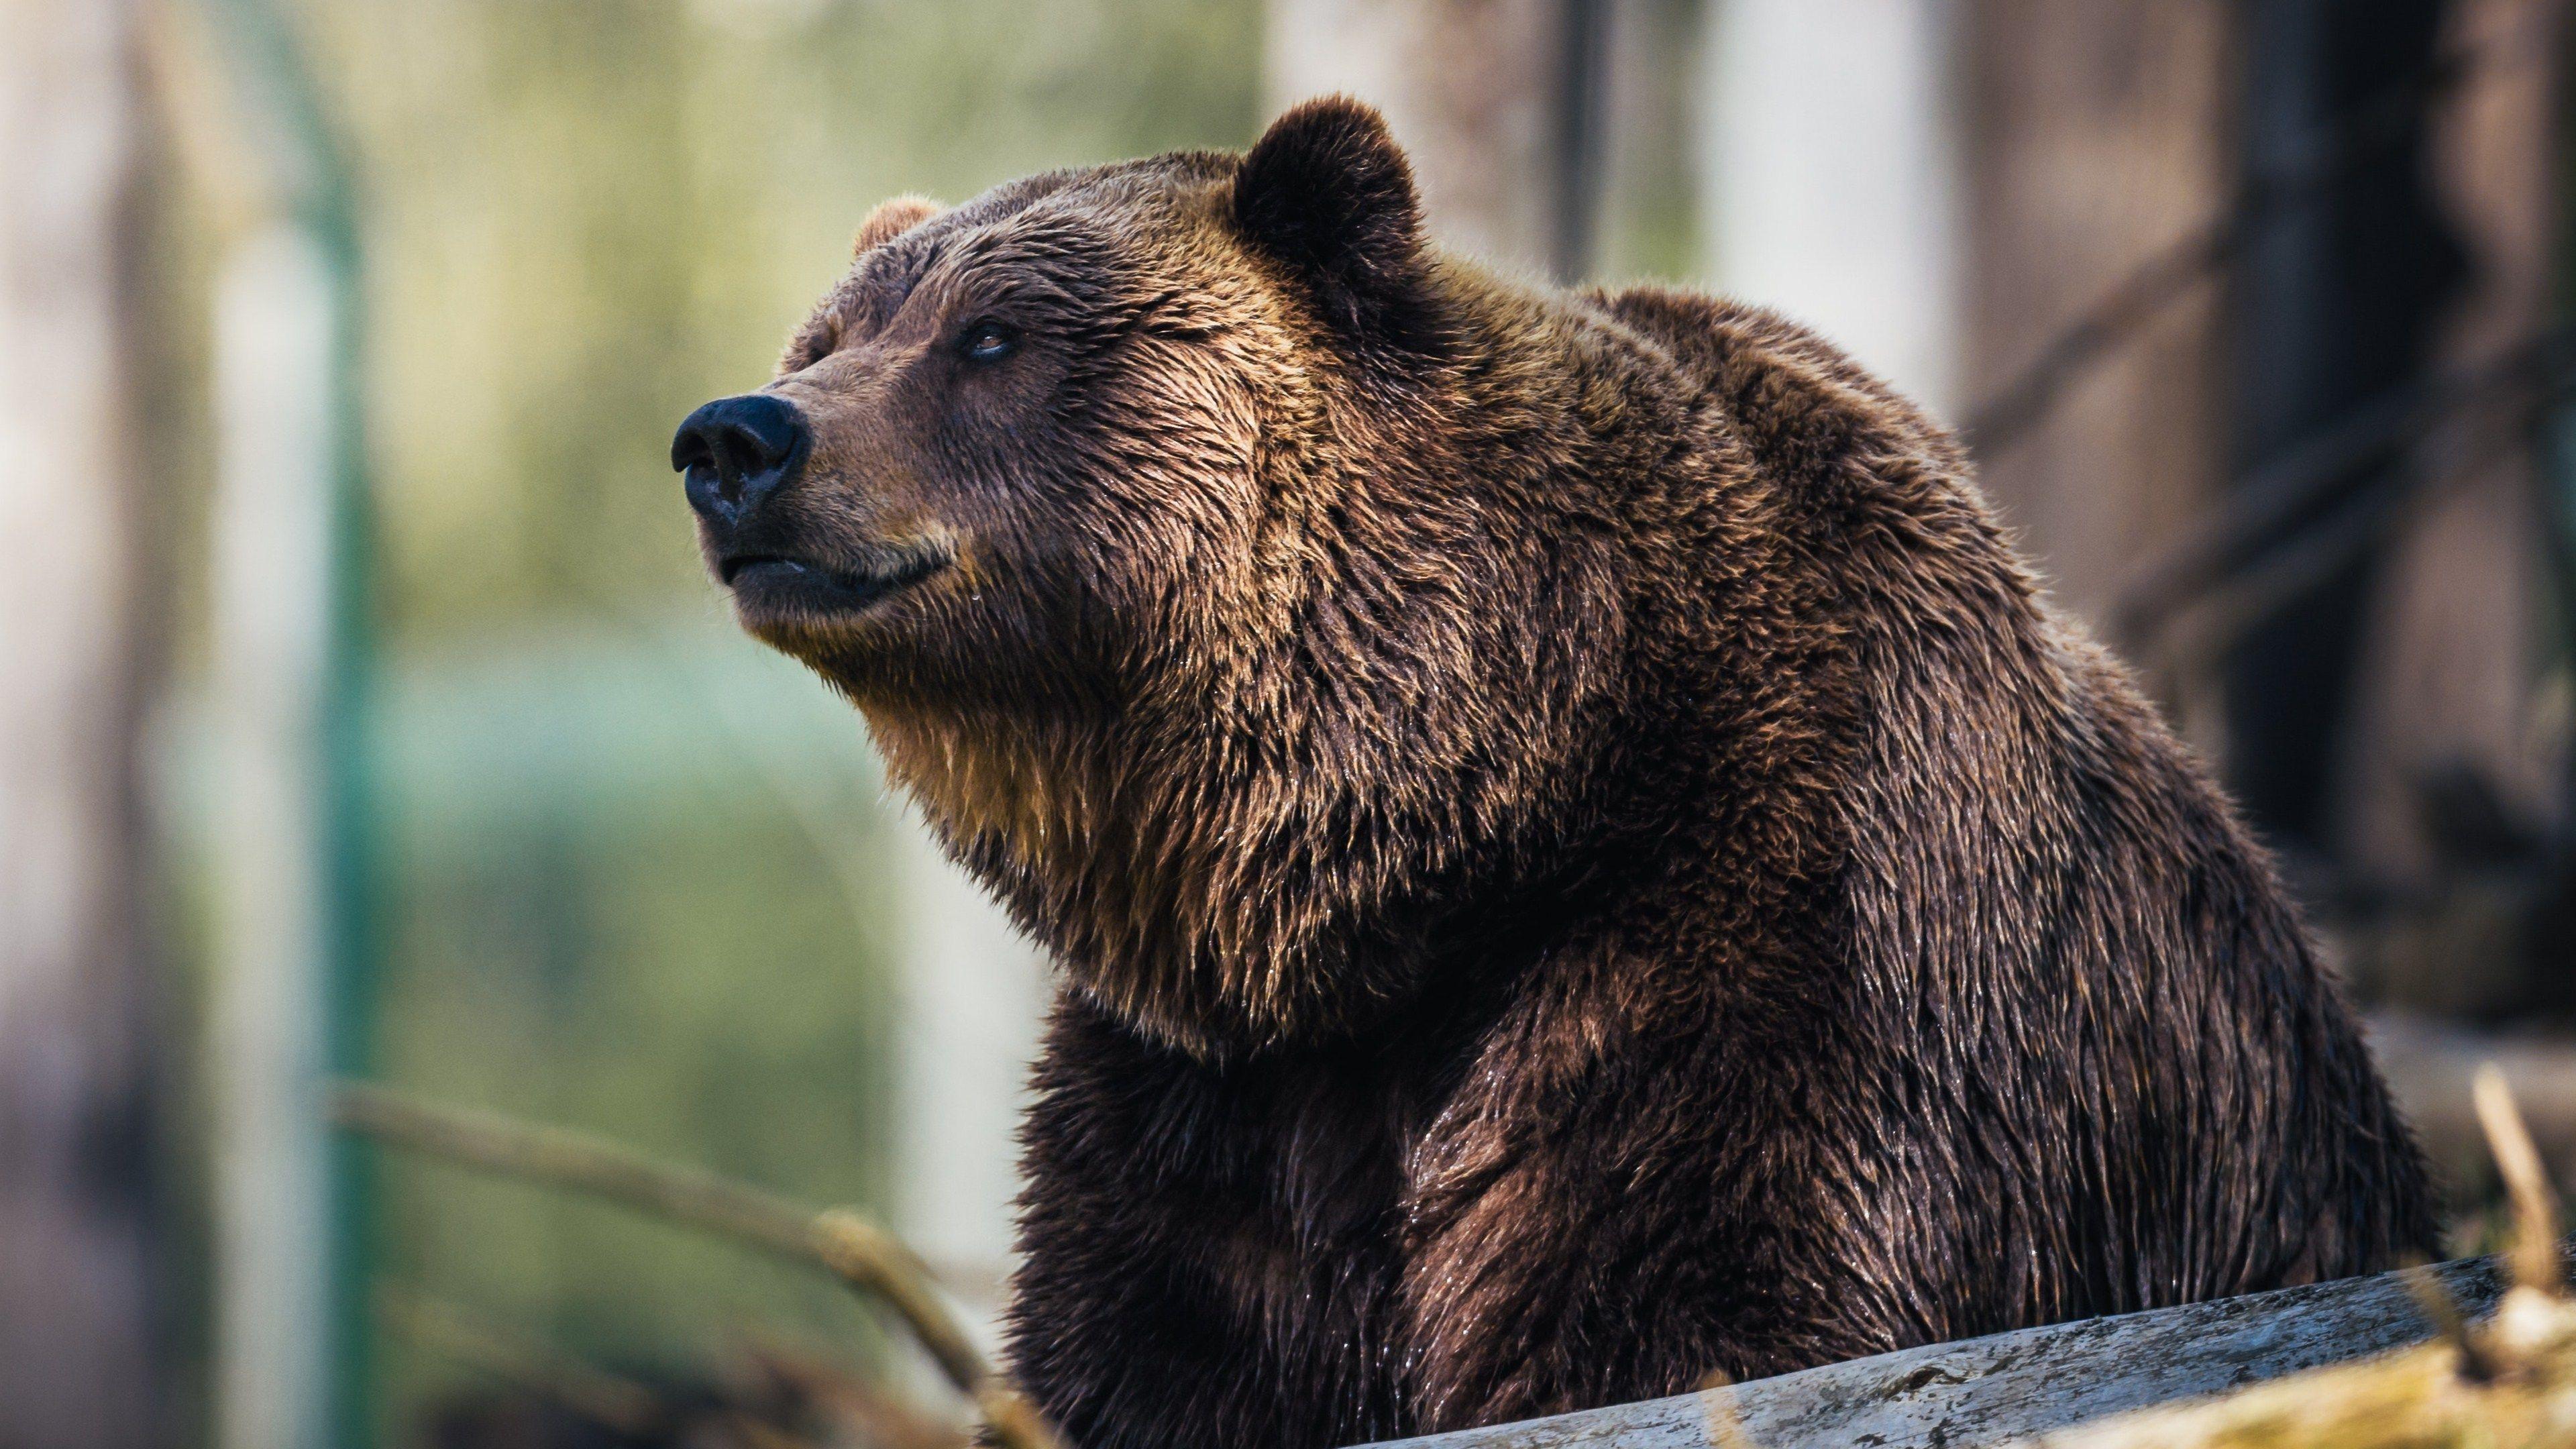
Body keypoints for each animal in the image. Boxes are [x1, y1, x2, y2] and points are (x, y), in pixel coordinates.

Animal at [671, 97, 2437, 1449]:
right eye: (831, 334)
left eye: (994, 336)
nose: (738, 438)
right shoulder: (1211, 1101)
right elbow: (1149, 1352)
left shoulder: (1778, 936)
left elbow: (1689, 1306)